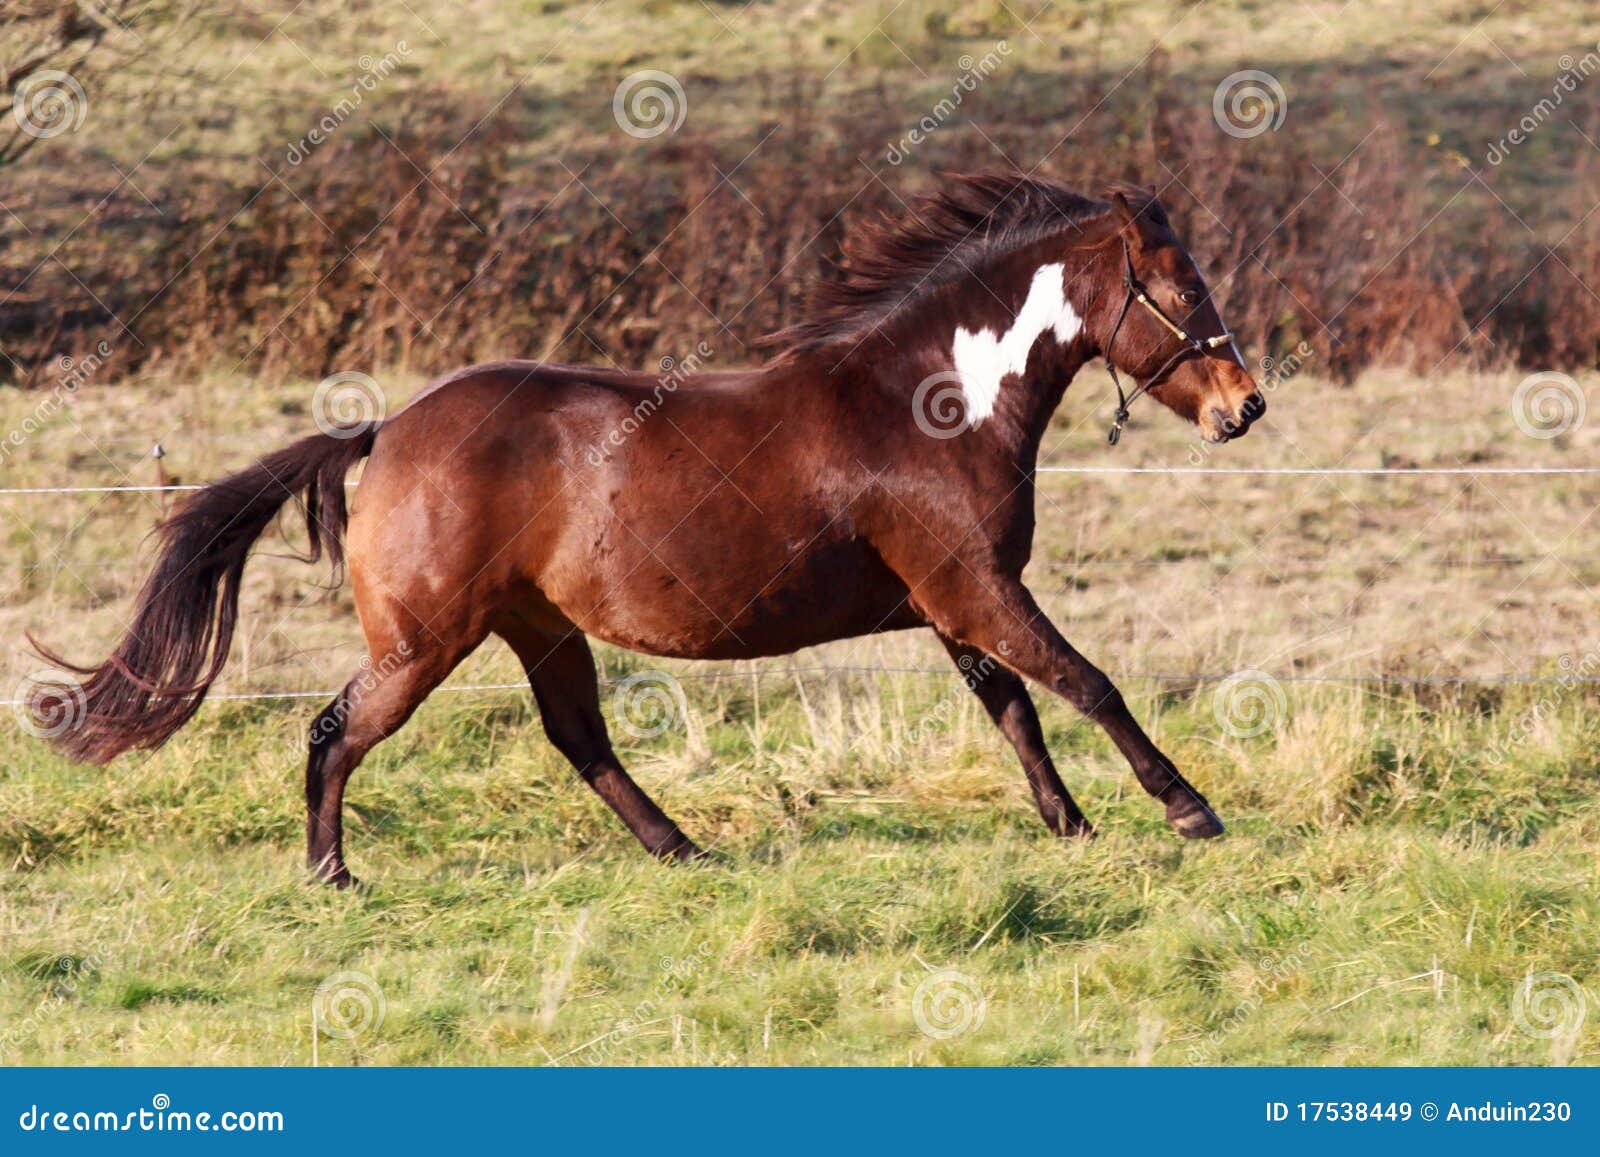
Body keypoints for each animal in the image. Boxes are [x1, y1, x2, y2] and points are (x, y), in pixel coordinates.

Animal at [32, 174, 1265, 886]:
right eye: (1176, 288)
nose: (1243, 405)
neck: (936, 401)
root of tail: (384, 430)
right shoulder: (974, 586)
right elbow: (1086, 681)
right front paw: (1188, 809)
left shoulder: (951, 600)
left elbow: (1016, 707)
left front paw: (1072, 826)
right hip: (424, 639)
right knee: (336, 729)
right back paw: (333, 876)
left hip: (536, 627)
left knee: (579, 739)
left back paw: (683, 849)